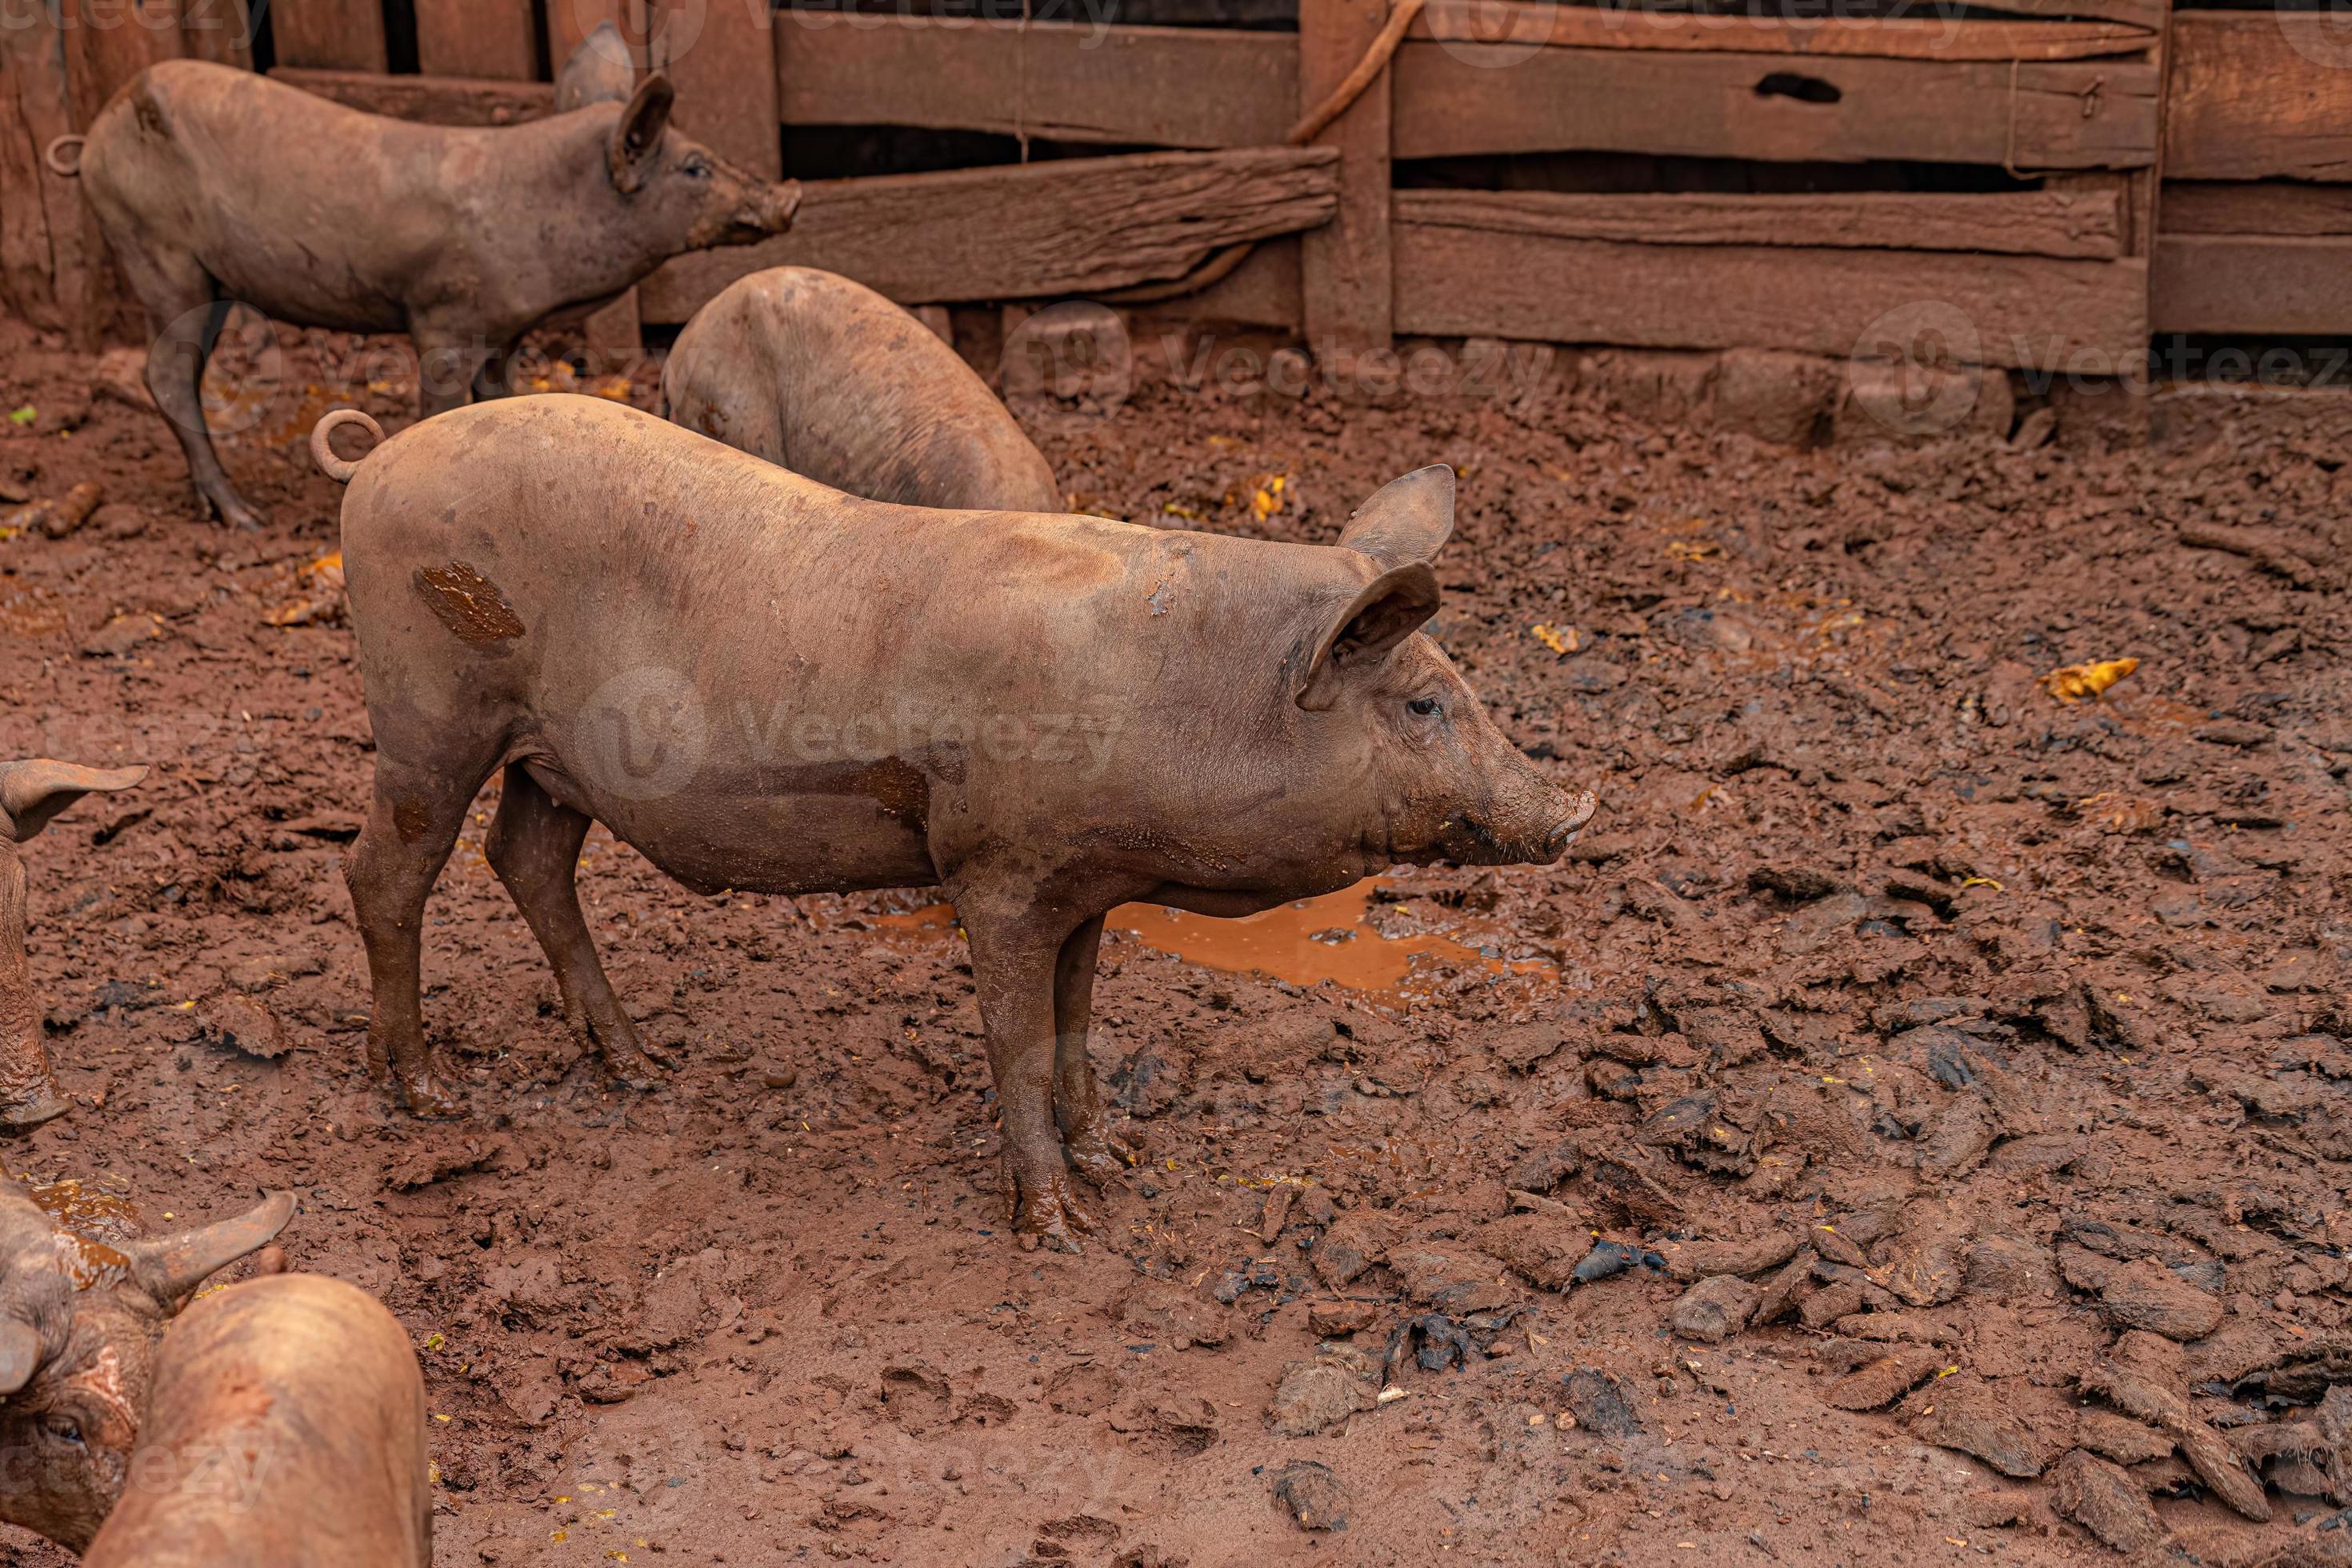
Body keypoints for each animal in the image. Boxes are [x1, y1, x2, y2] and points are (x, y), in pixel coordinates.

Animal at [57, 36, 800, 529]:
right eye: (696, 167)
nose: (789, 194)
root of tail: (96, 134)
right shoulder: (442, 313)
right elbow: (440, 403)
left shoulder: (503, 329)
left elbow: (496, 393)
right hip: (156, 247)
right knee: (166, 373)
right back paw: (244, 517)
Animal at [313, 395, 1594, 1249]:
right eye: (1422, 704)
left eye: (1461, 685)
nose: (1577, 808)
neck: (1188, 687)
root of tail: (377, 460)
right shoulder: (999, 870)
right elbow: (1015, 1043)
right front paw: (1060, 1229)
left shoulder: (1086, 885)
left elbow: (1076, 1024)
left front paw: (1122, 1155)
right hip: (429, 711)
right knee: (388, 872)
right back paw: (429, 1094)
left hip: (552, 755)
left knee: (524, 857)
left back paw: (639, 1066)